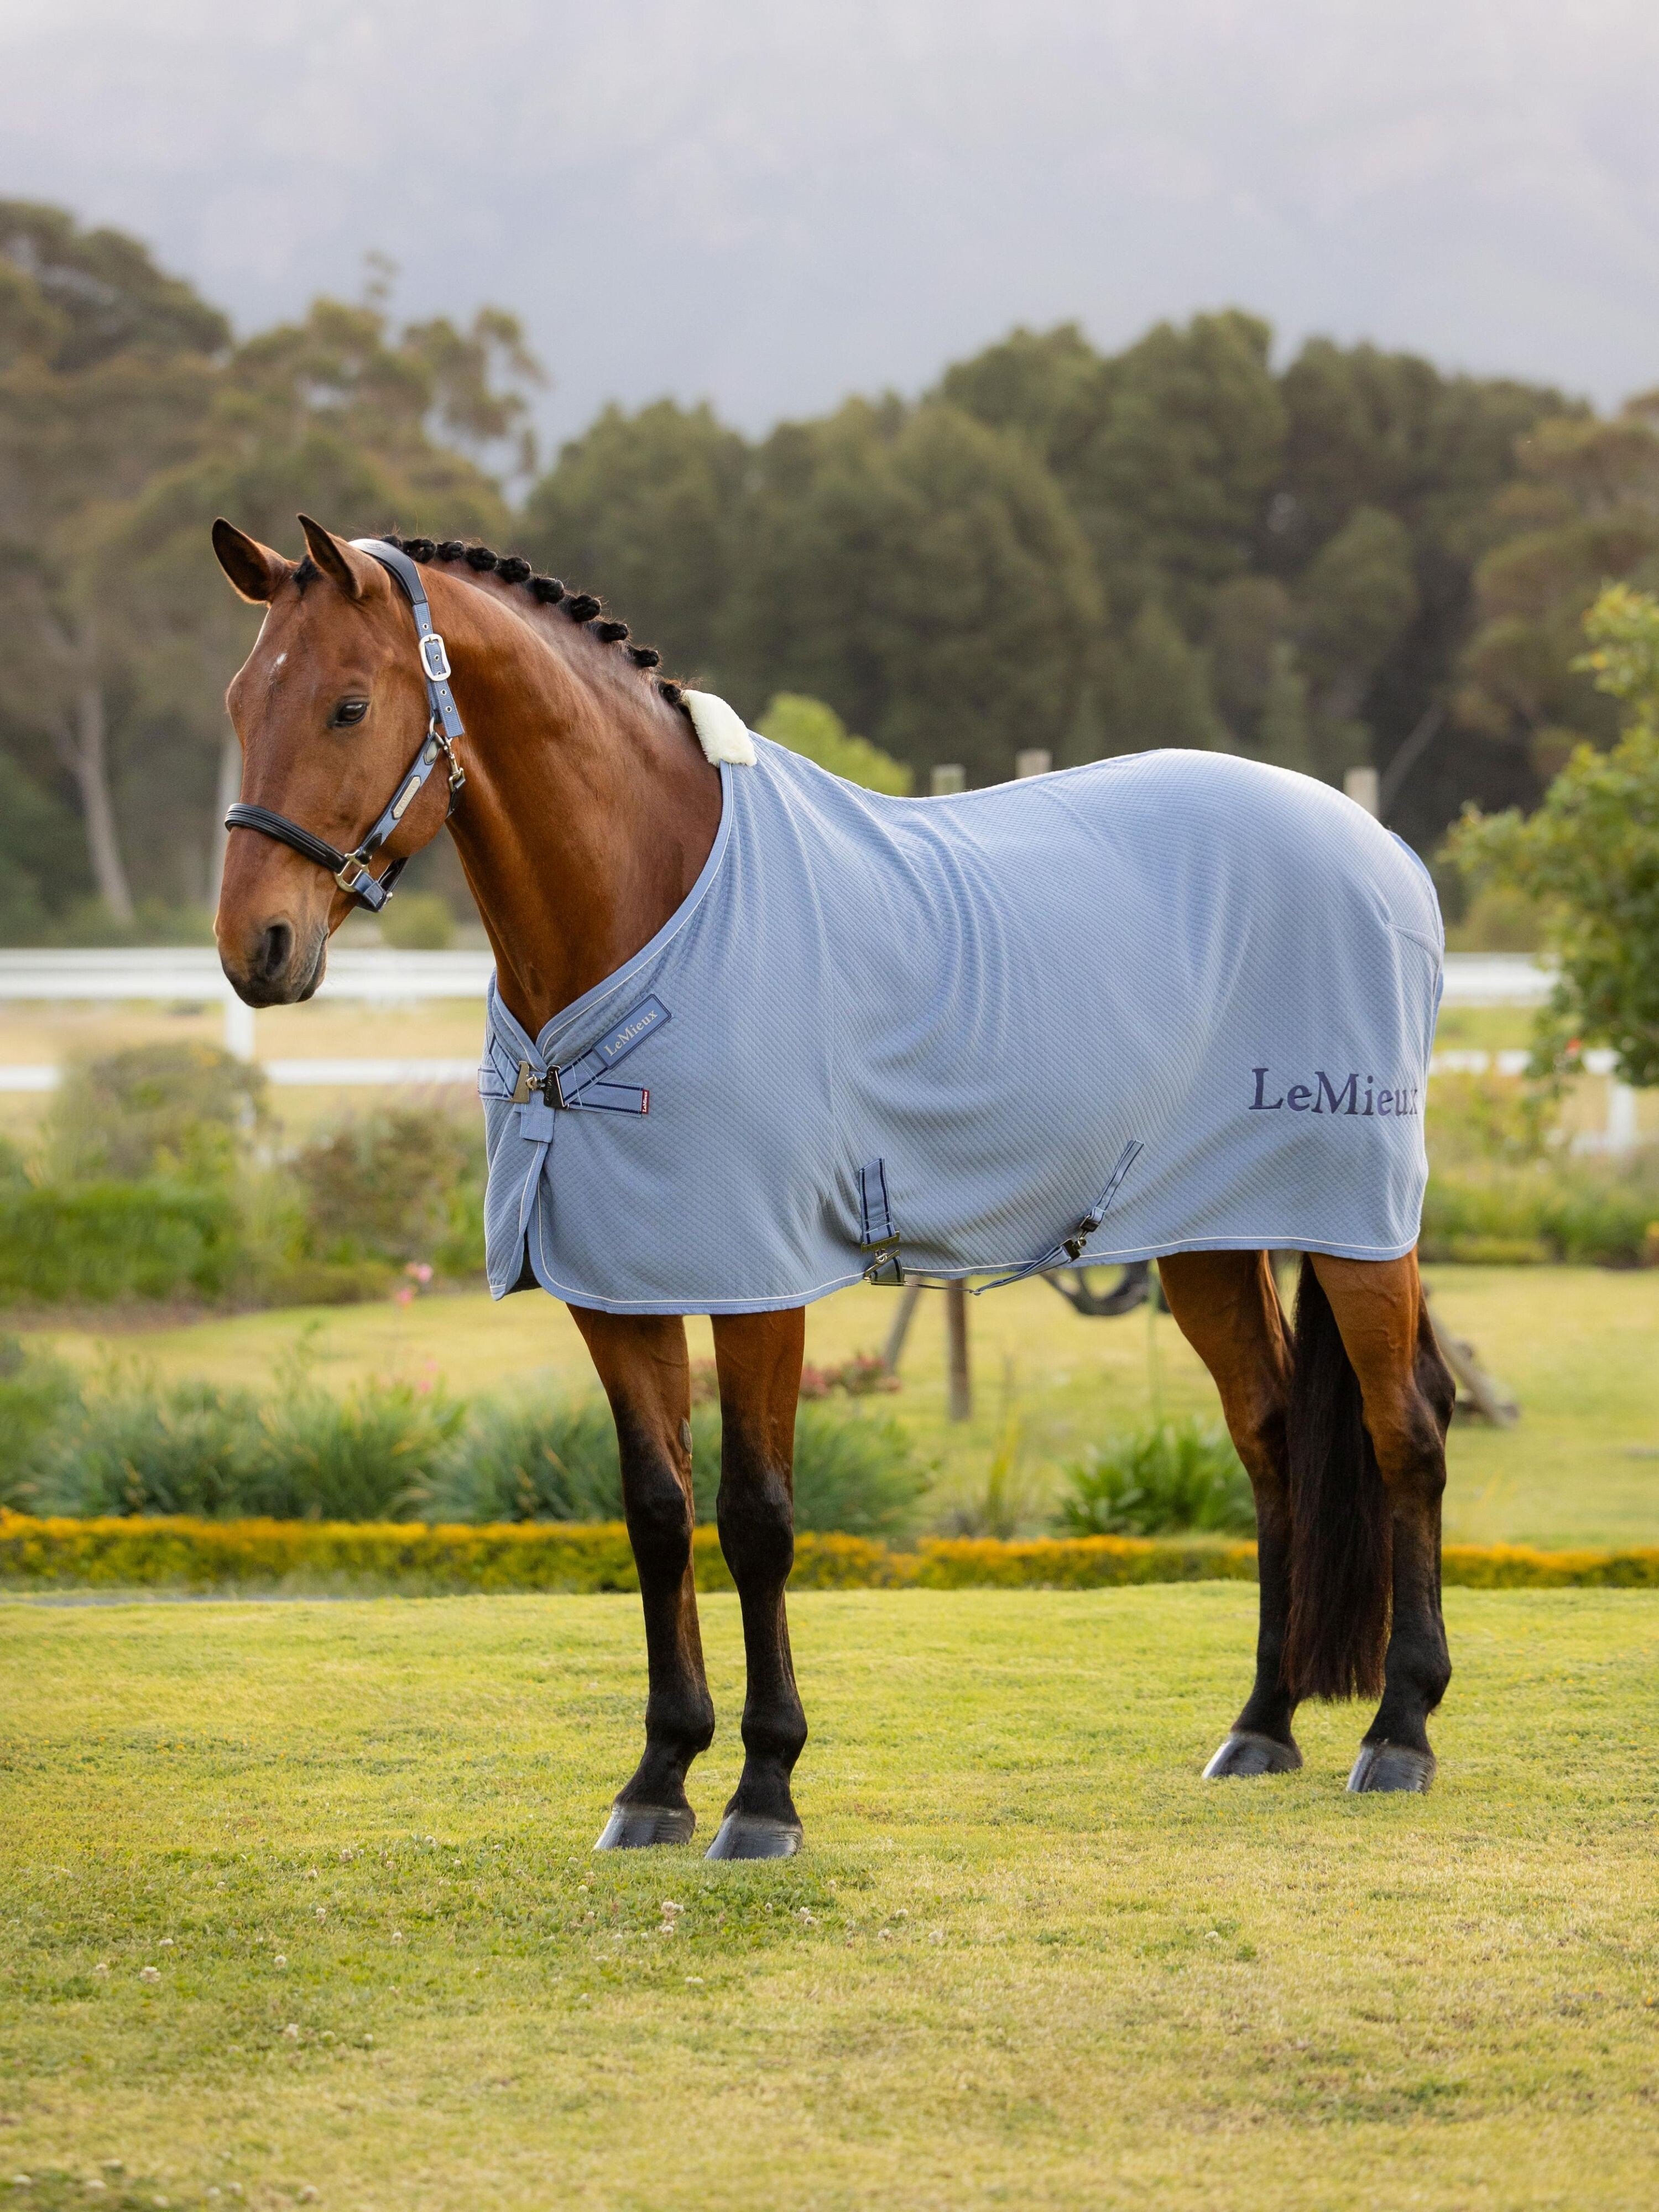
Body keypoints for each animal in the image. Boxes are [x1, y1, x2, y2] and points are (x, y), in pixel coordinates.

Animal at [210, 513, 1457, 1859]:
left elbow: (756, 1519)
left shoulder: (758, 1285)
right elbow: (657, 1512)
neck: (652, 905)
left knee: (1406, 1429)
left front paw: (764, 1791)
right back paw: (1264, 1723)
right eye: (240, 699)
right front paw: (657, 1779)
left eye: (347, 704)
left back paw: (1400, 1730)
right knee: (1272, 1437)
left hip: (1357, 1224)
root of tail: (1384, 849)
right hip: (1208, 1241)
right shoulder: (615, 1286)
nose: (254, 949)